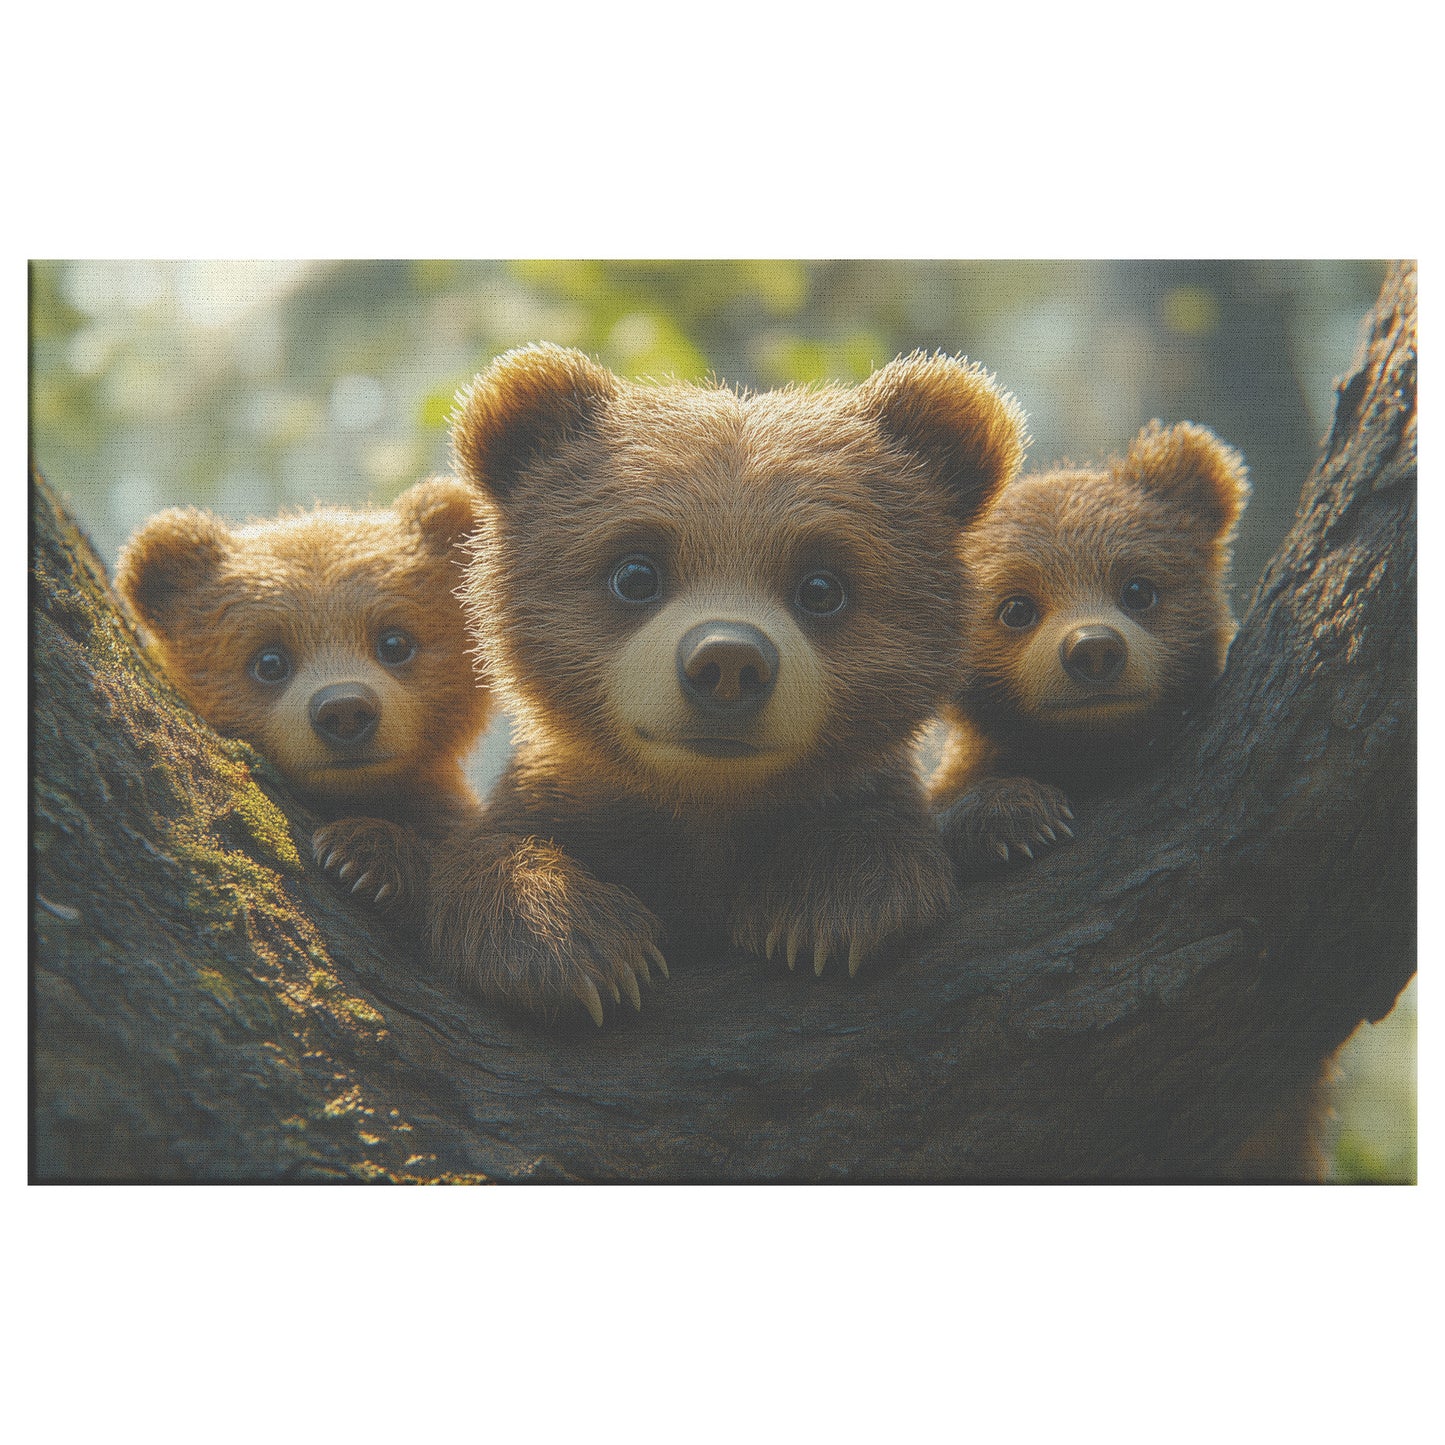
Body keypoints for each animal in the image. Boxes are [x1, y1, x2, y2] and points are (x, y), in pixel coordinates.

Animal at [425, 342, 1028, 1025]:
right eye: (635, 571)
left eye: (822, 585)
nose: (728, 662)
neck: (707, 807)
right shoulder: (565, 805)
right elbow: (496, 860)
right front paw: (577, 946)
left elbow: (872, 844)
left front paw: (824, 906)